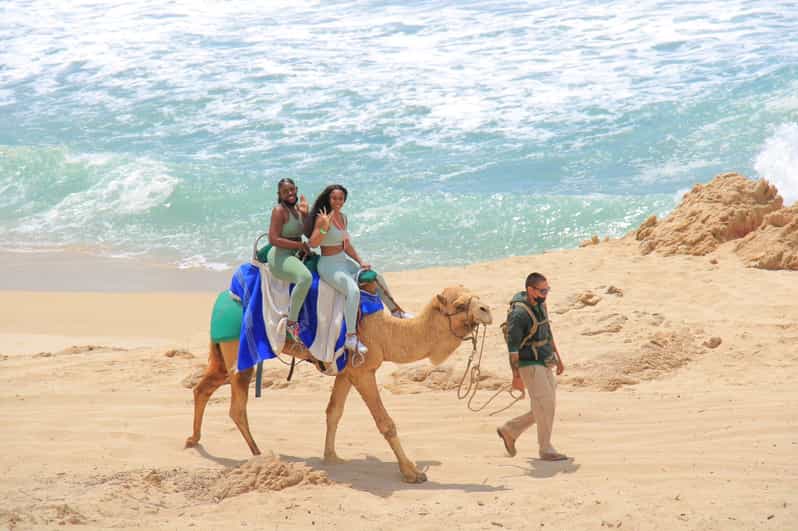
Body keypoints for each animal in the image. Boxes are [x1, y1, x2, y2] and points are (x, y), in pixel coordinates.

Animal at [185, 285, 493, 483]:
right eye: (459, 304)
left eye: (476, 297)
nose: (487, 309)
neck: (386, 333)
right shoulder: (363, 371)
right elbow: (386, 423)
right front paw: (411, 472)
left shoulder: (347, 372)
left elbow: (334, 412)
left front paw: (331, 457)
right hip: (239, 352)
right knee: (236, 407)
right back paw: (260, 456)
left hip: (222, 354)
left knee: (202, 388)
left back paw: (194, 439)